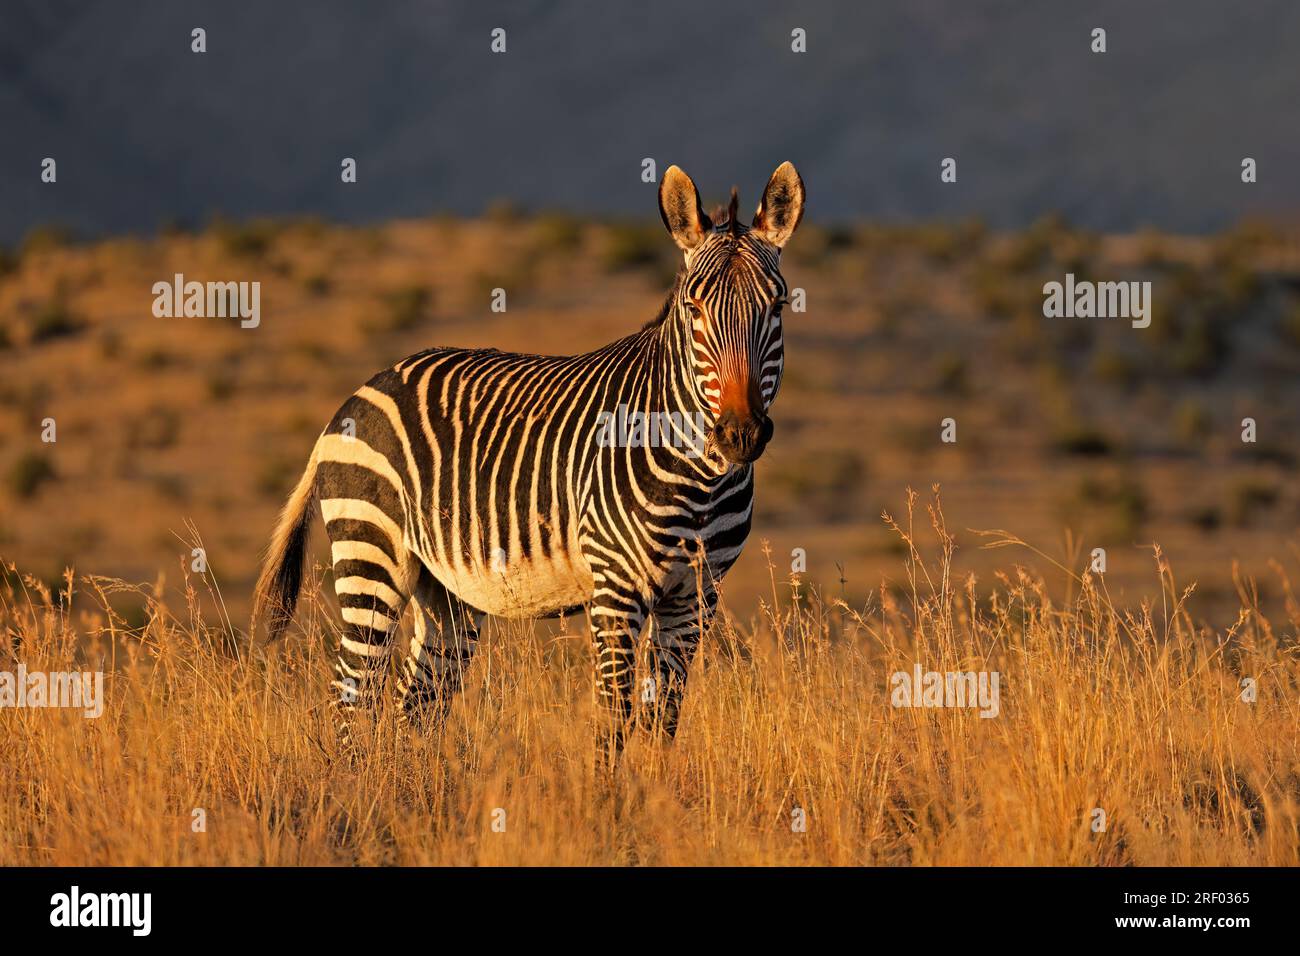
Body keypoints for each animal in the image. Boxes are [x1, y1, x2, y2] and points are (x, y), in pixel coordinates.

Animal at [252, 162, 805, 766]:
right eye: (694, 309)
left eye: (777, 307)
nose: (739, 434)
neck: (700, 479)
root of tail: (356, 396)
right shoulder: (616, 588)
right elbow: (614, 717)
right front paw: (608, 794)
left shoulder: (695, 597)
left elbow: (664, 718)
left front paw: (656, 792)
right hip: (372, 553)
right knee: (354, 692)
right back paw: (360, 786)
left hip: (445, 591)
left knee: (415, 704)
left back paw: (409, 787)